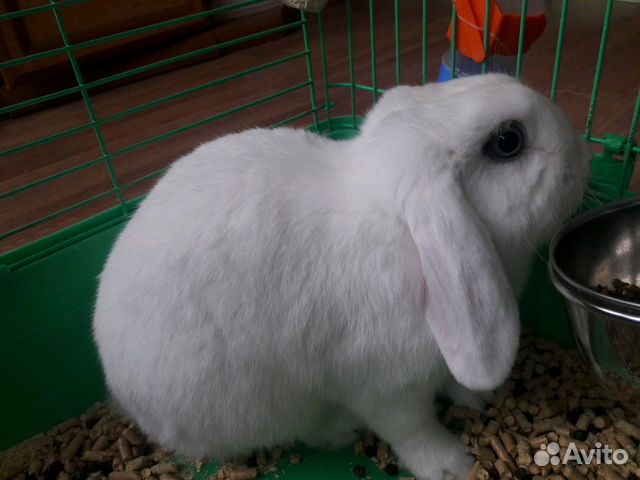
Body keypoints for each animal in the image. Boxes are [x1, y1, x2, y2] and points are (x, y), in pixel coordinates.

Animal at [93, 73, 591, 480]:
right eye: (507, 141)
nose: (578, 148)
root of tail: (125, 398)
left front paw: (475, 398)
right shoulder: (386, 389)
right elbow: (412, 430)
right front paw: (452, 465)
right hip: (265, 406)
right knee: (301, 427)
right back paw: (339, 429)